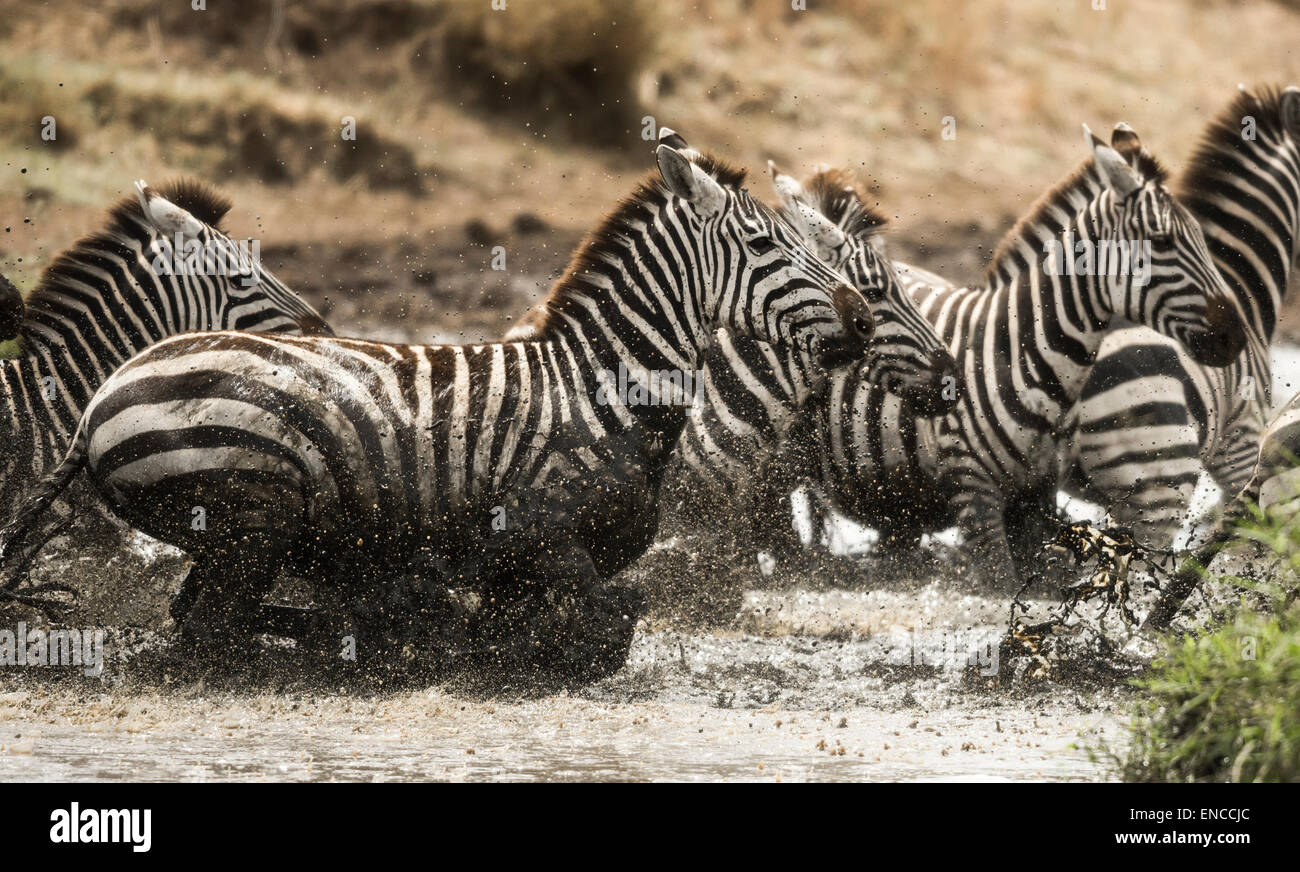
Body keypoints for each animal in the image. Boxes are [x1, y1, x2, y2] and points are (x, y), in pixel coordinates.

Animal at [788, 125, 1247, 589]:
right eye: (1162, 241)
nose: (1235, 336)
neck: (1020, 356)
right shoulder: (974, 493)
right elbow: (1001, 585)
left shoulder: (1035, 495)